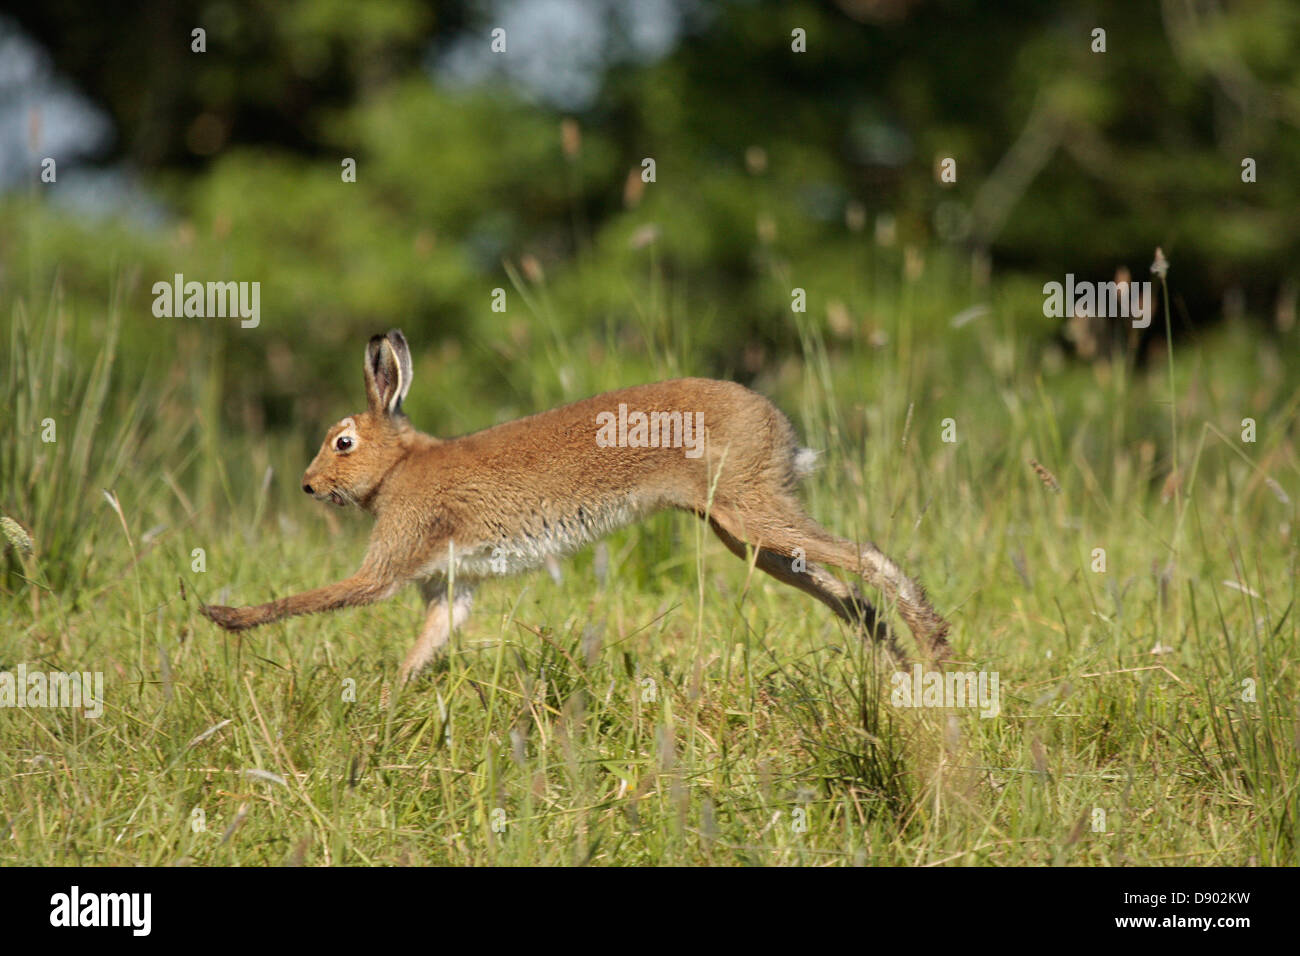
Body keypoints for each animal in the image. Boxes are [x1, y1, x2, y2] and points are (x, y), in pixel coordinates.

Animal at [200, 329, 951, 683]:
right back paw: (901, 665)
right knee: (840, 590)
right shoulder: (451, 586)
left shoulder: (388, 565)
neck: (401, 465)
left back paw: (934, 647)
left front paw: (224, 616)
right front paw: (391, 699)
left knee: (868, 557)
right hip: (745, 534)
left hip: (749, 511)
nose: (307, 484)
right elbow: (428, 643)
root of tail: (779, 426)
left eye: (343, 442)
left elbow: (320, 596)